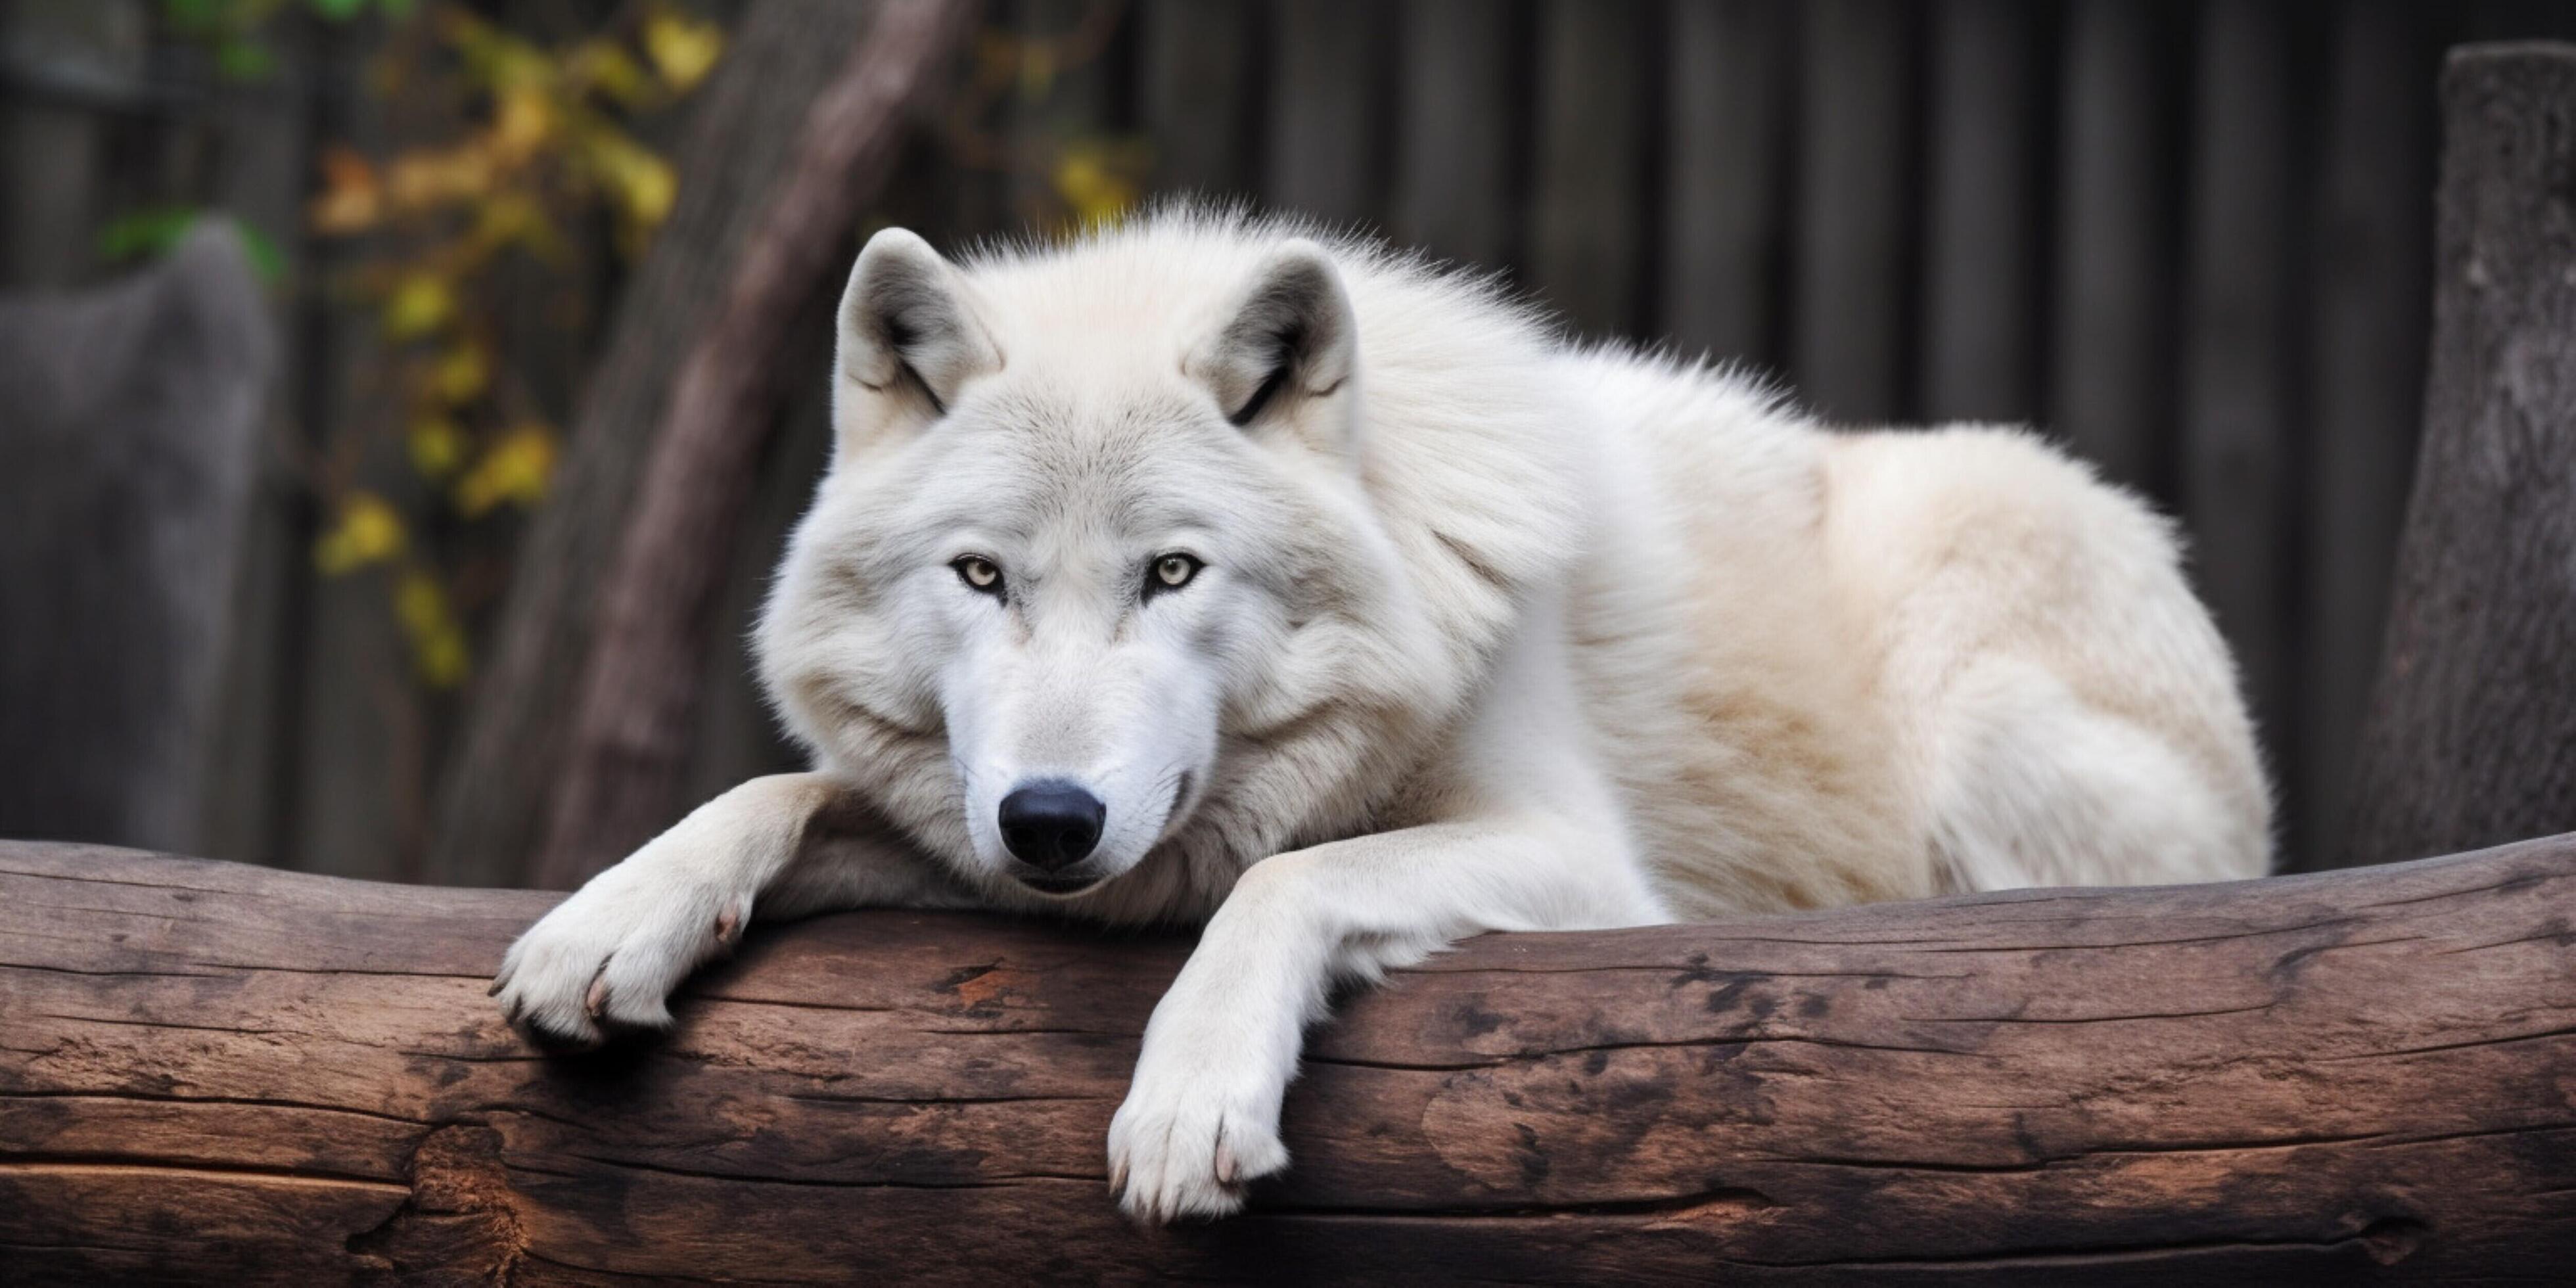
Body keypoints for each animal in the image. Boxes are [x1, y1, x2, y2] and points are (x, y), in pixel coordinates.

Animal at [492, 209, 2269, 1222]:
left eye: (1175, 571)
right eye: (981, 576)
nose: (1052, 821)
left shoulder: (1582, 863)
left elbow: (1292, 878)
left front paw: (1191, 1097)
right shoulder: (1018, 838)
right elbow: (774, 795)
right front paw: (610, 920)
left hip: (1989, 725)